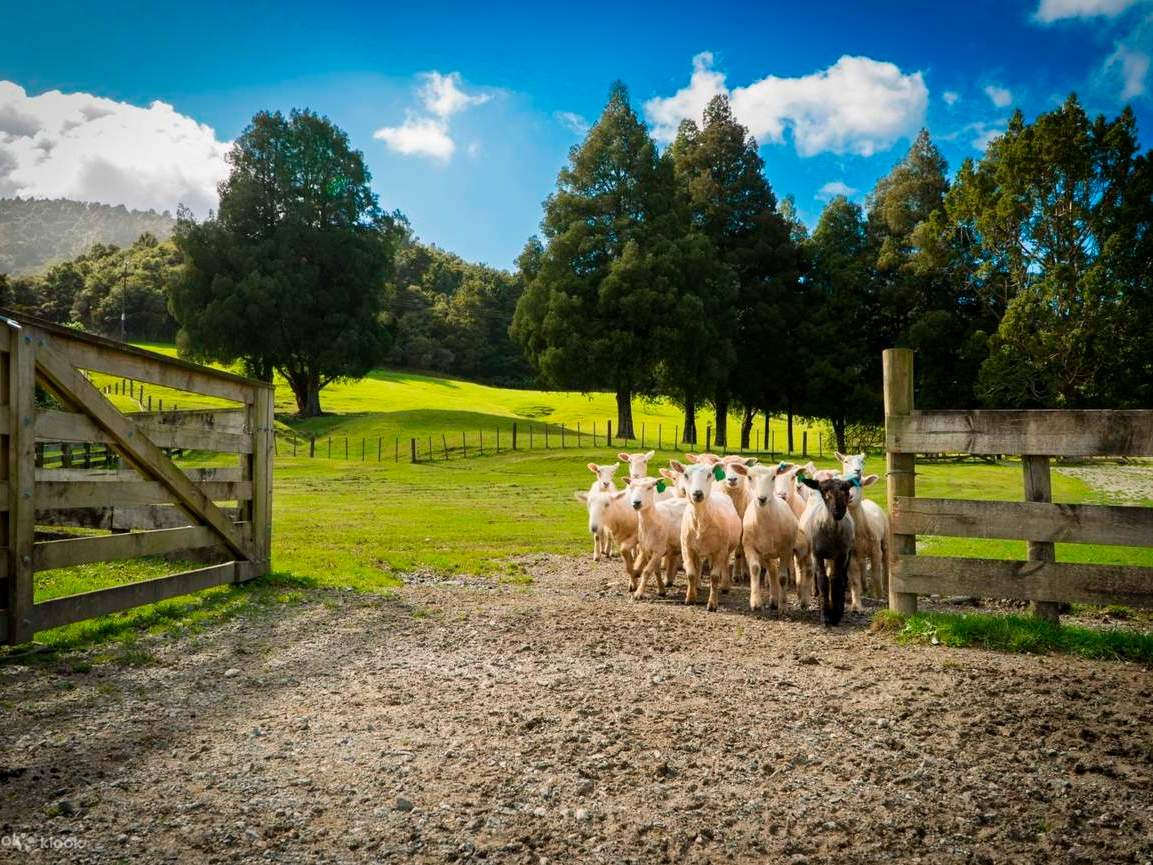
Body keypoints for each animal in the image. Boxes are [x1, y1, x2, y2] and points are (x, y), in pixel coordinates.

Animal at [678, 462, 743, 612]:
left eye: (709, 475)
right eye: (685, 475)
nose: (697, 493)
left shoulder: (720, 550)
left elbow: (714, 577)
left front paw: (712, 604)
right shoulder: (687, 548)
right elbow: (691, 574)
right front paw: (690, 598)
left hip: (725, 548)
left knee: (724, 564)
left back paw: (724, 586)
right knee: (699, 565)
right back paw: (697, 586)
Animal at [735, 463, 799, 612]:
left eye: (774, 477)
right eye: (749, 477)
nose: (762, 499)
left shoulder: (786, 550)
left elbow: (783, 577)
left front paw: (783, 605)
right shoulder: (749, 546)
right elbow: (755, 569)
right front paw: (755, 602)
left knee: (776, 572)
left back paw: (777, 600)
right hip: (767, 553)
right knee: (772, 570)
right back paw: (773, 600)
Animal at [798, 476, 856, 626]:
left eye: (847, 490)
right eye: (824, 491)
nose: (838, 512)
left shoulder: (842, 554)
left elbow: (836, 579)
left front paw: (836, 615)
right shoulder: (817, 554)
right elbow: (823, 580)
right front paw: (825, 616)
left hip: (847, 552)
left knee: (843, 577)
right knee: (817, 575)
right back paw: (815, 591)